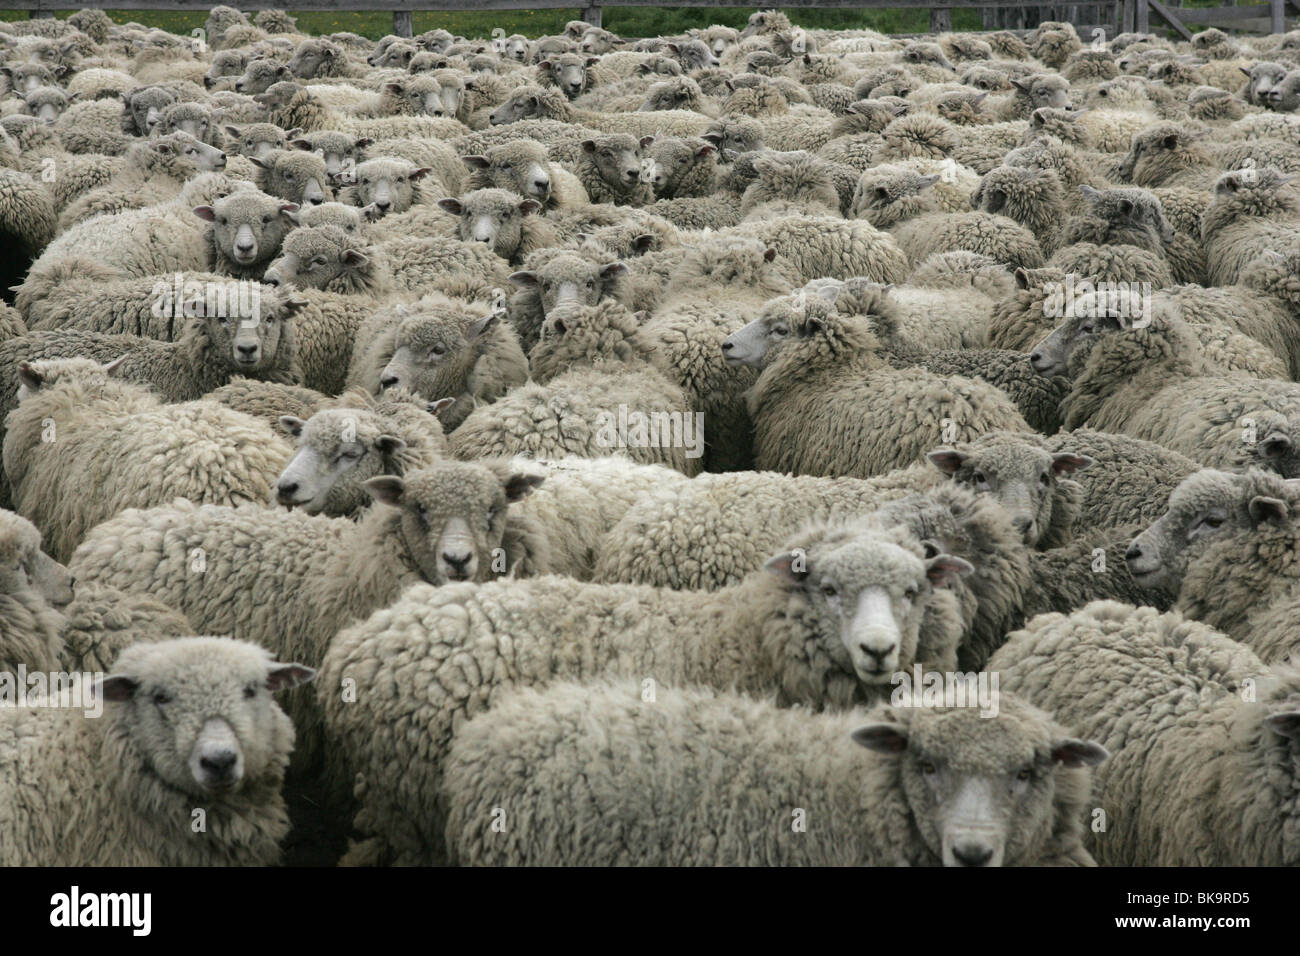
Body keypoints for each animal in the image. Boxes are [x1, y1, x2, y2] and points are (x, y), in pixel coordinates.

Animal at [321, 518, 973, 865]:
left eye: (914, 590)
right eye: (830, 588)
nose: (878, 649)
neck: (739, 636)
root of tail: (352, 647)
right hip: (419, 810)